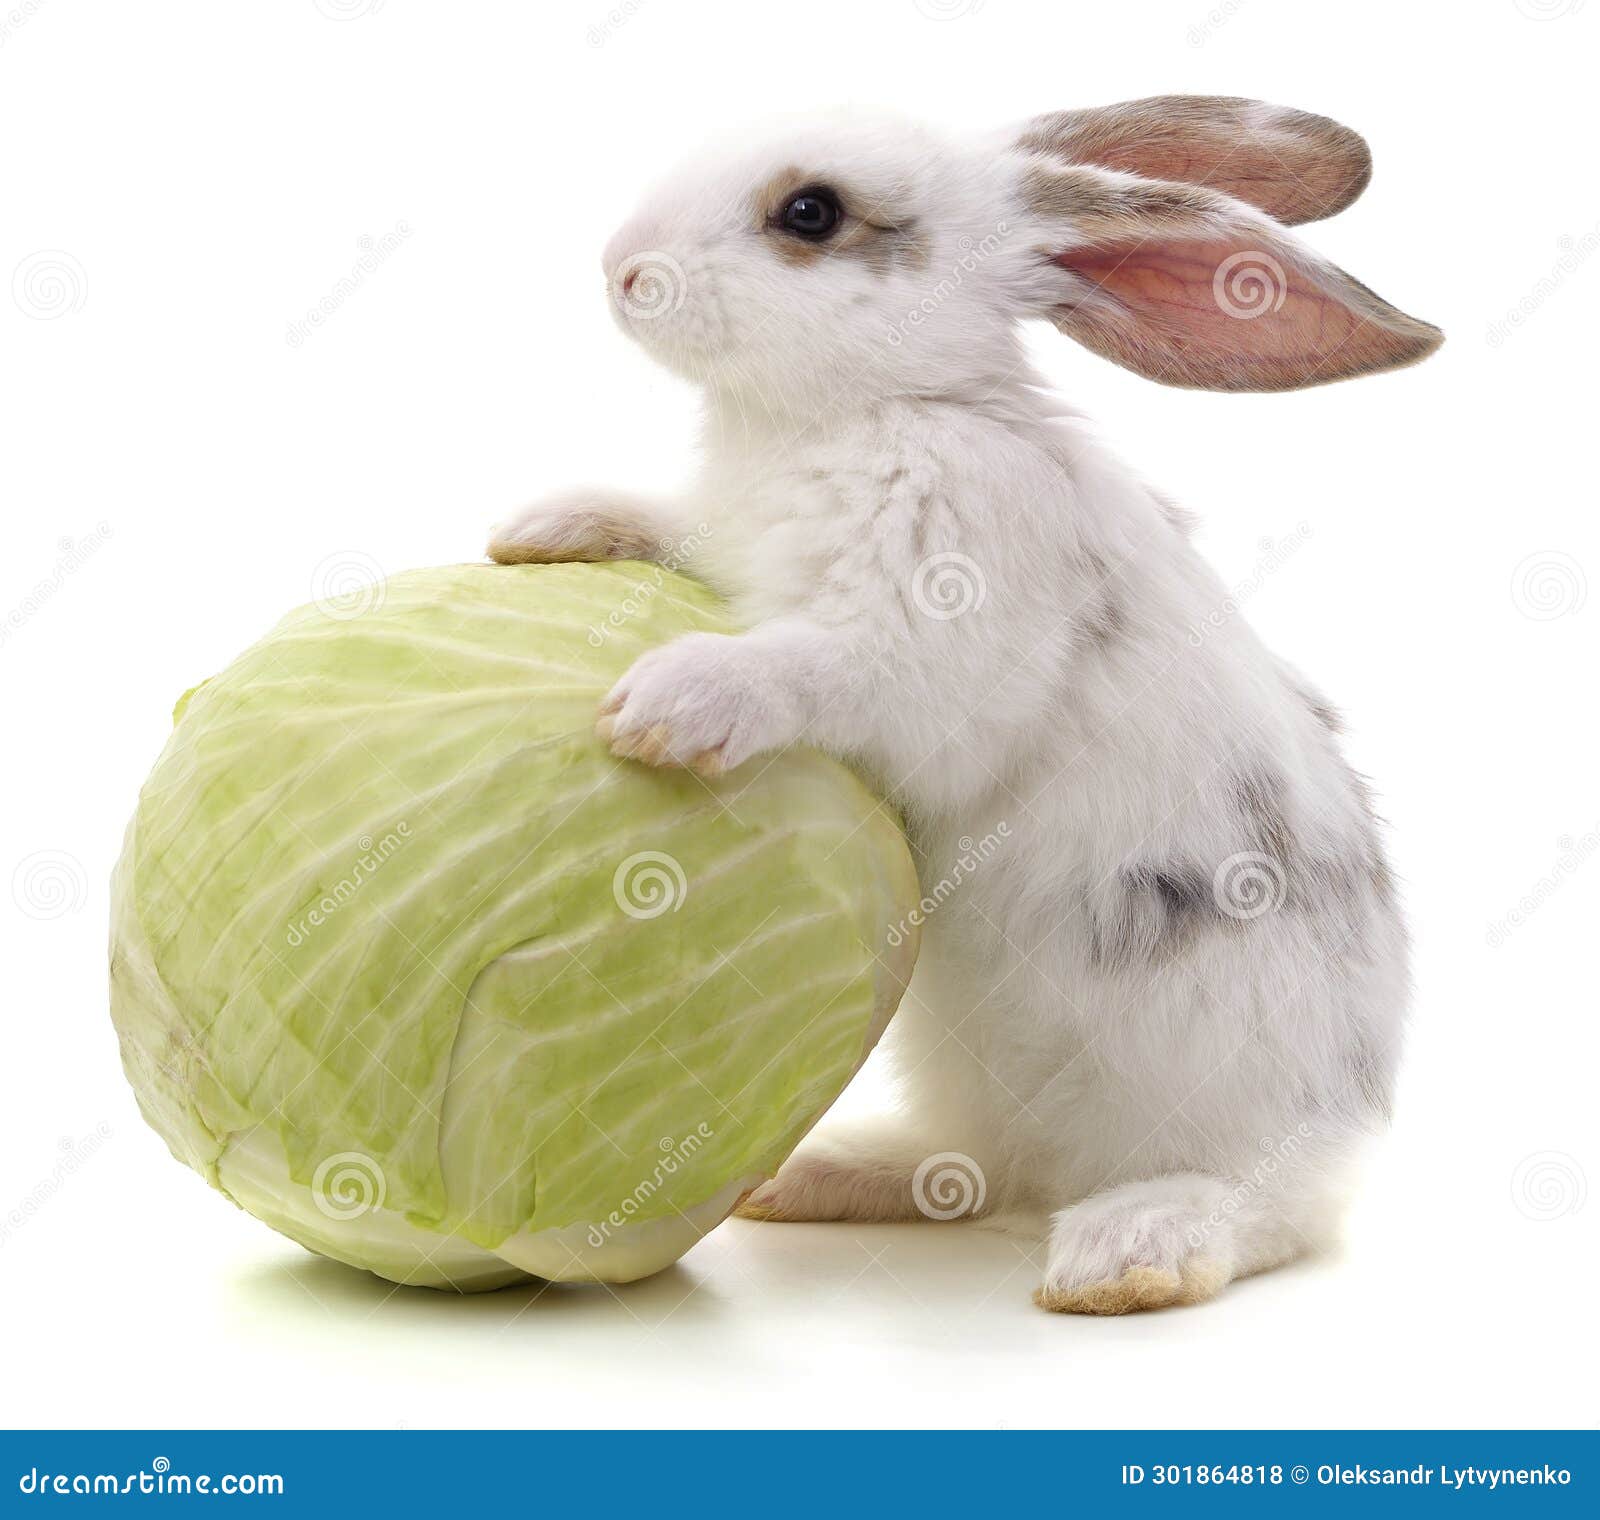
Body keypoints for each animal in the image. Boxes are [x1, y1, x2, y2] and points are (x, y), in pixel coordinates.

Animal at [488, 96, 1441, 1314]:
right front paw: (550, 525)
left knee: (1277, 1205)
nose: (623, 269)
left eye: (810, 212)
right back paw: (825, 1173)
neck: (878, 406)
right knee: (979, 1169)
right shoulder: (726, 543)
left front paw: (672, 699)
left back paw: (1131, 1249)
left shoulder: (929, 633)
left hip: (1236, 1087)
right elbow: (674, 528)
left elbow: (819, 668)